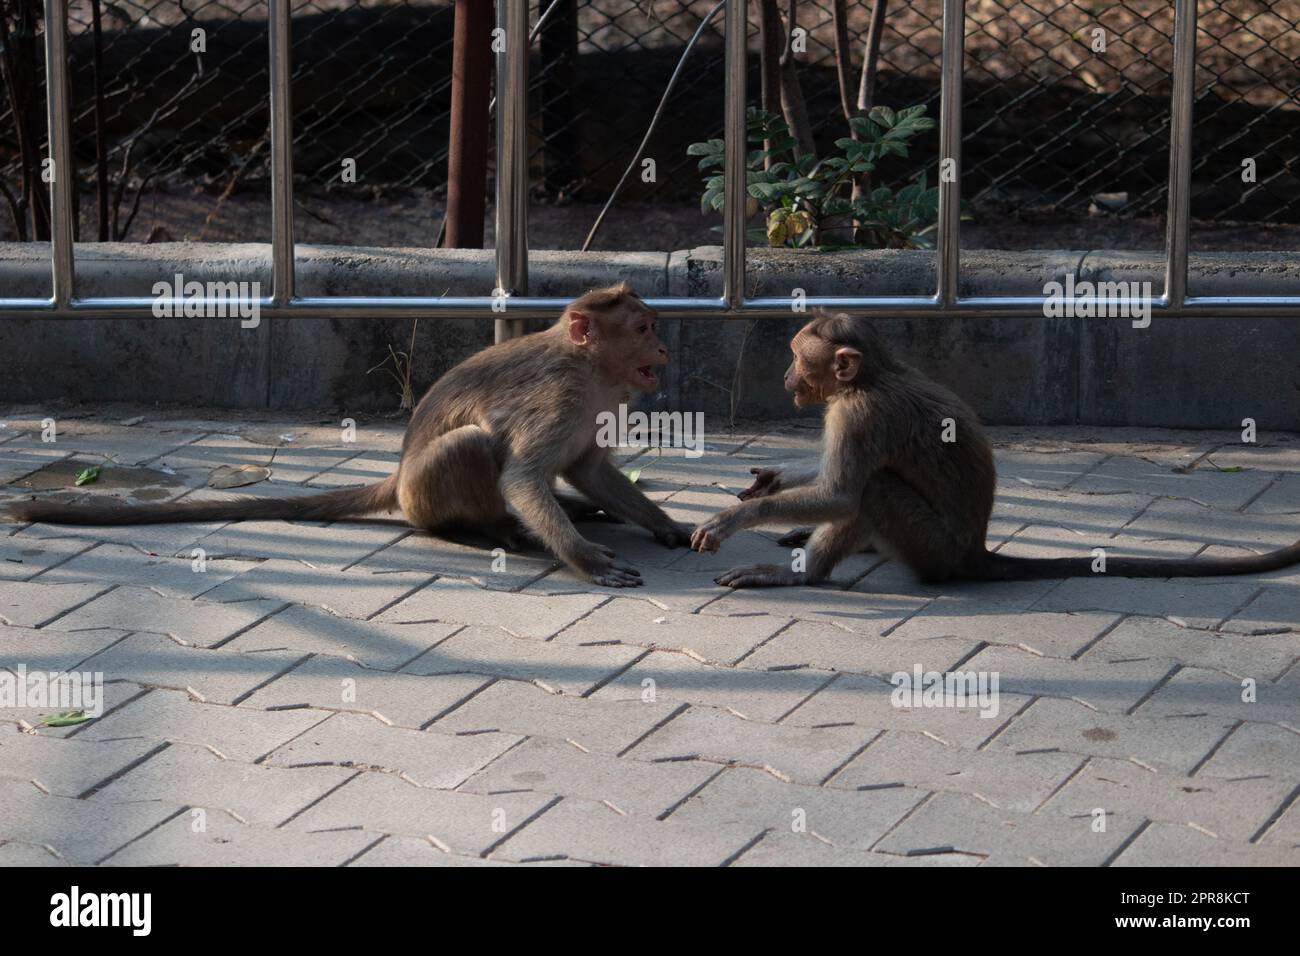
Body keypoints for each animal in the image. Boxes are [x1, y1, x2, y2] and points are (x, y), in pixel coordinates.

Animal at [5, 284, 693, 588]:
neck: (589, 368)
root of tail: (398, 476)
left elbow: (588, 469)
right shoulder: (559, 396)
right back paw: (490, 529)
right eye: (643, 327)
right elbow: (522, 475)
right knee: (469, 448)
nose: (664, 348)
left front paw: (668, 526)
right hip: (423, 495)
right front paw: (585, 560)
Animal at [691, 311, 1300, 588]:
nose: (786, 374)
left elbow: (843, 493)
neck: (870, 378)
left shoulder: (859, 415)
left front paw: (739, 516)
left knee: (876, 490)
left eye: (798, 355)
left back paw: (808, 576)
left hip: (932, 550)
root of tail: (973, 552)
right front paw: (771, 483)